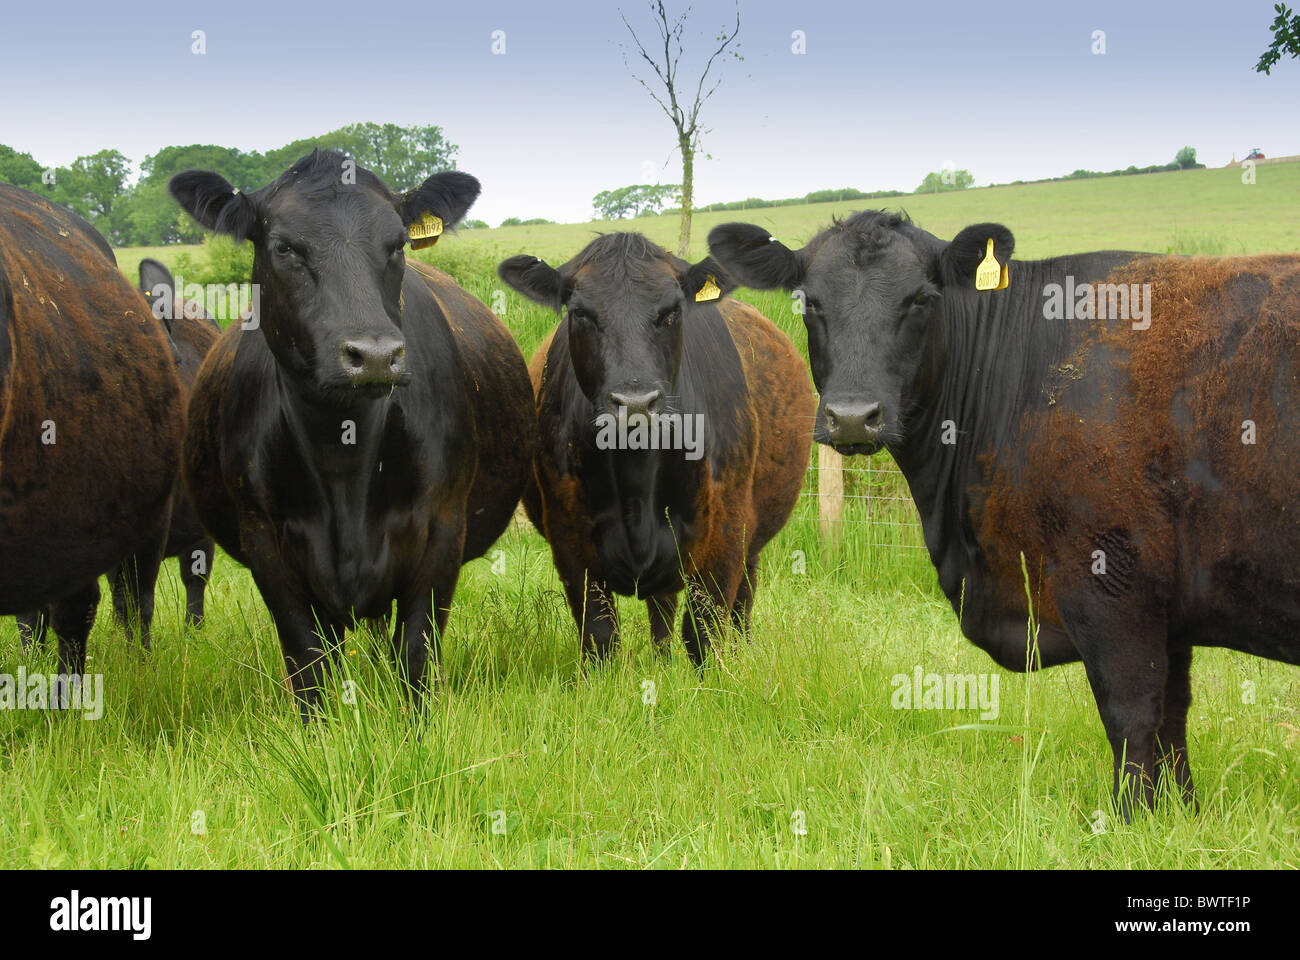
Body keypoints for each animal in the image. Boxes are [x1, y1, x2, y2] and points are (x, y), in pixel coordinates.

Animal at [170, 150, 535, 718]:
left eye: (397, 244)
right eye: (284, 247)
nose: (376, 354)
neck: (345, 461)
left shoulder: (442, 530)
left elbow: (415, 658)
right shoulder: (266, 544)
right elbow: (309, 668)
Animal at [498, 233, 814, 663]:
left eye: (672, 311)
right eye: (580, 313)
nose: (635, 403)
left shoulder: (725, 540)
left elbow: (704, 636)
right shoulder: (570, 543)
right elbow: (600, 638)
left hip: (751, 542)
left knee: (741, 605)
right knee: (661, 610)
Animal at [709, 212, 1300, 816]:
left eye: (921, 299)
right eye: (809, 301)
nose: (852, 416)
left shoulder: (1114, 586)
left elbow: (1132, 715)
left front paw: (1130, 816)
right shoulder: (1170, 605)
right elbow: (1173, 717)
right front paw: (1180, 811)